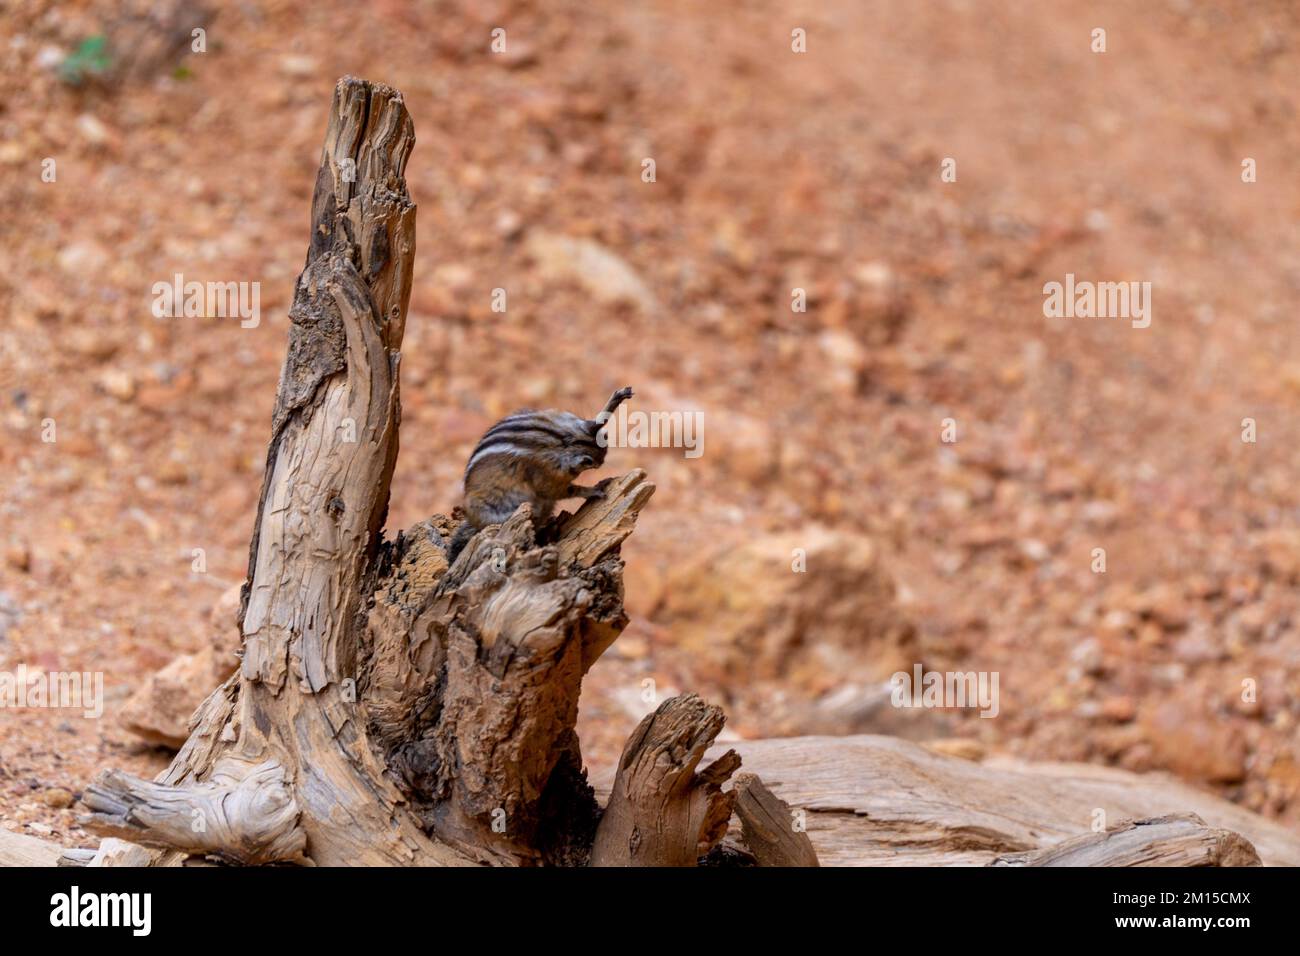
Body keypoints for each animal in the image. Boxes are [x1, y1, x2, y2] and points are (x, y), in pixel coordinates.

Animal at [447, 387, 634, 561]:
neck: (563, 442)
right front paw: (596, 490)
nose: (602, 462)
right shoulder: (547, 477)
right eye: (590, 463)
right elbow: (566, 490)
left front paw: (617, 398)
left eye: (605, 439)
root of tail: (472, 519)